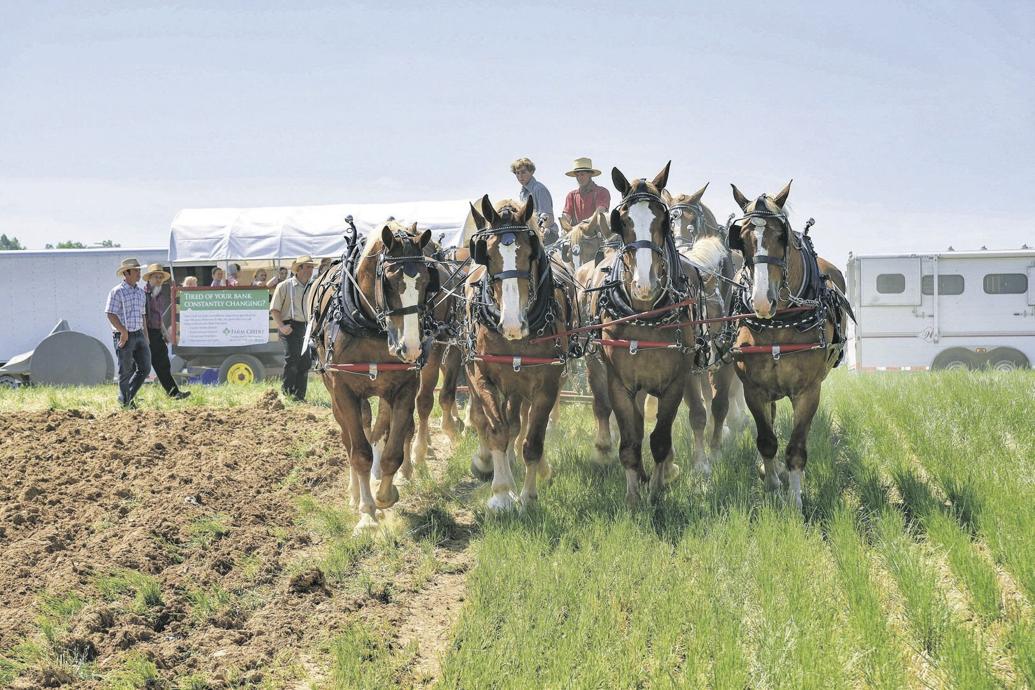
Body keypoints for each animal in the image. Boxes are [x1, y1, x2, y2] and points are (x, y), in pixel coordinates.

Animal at [305, 221, 440, 534]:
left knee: (377, 428)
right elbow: (360, 453)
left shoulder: (404, 387)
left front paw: (385, 495)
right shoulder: (343, 390)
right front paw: (366, 514)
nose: (411, 347)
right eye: (388, 281)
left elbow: (392, 451)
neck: (367, 323)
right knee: (350, 439)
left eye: (428, 280)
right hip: (336, 395)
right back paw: (355, 495)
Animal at [463, 194, 575, 511]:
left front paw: (528, 497)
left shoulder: (547, 383)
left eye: (530, 252)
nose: (513, 324)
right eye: (486, 255)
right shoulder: (481, 376)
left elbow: (533, 441)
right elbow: (497, 430)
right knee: (509, 423)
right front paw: (502, 493)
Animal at [584, 162, 722, 506]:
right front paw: (634, 493)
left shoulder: (676, 380)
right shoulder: (619, 382)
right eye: (621, 220)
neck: (645, 313)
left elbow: (660, 438)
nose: (643, 285)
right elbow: (630, 439)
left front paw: (658, 488)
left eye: (663, 220)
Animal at [726, 181, 852, 511]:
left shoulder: (809, 391)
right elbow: (767, 439)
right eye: (742, 239)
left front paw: (795, 499)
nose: (761, 301)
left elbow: (796, 447)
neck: (778, 324)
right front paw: (771, 482)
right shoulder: (753, 388)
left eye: (782, 237)